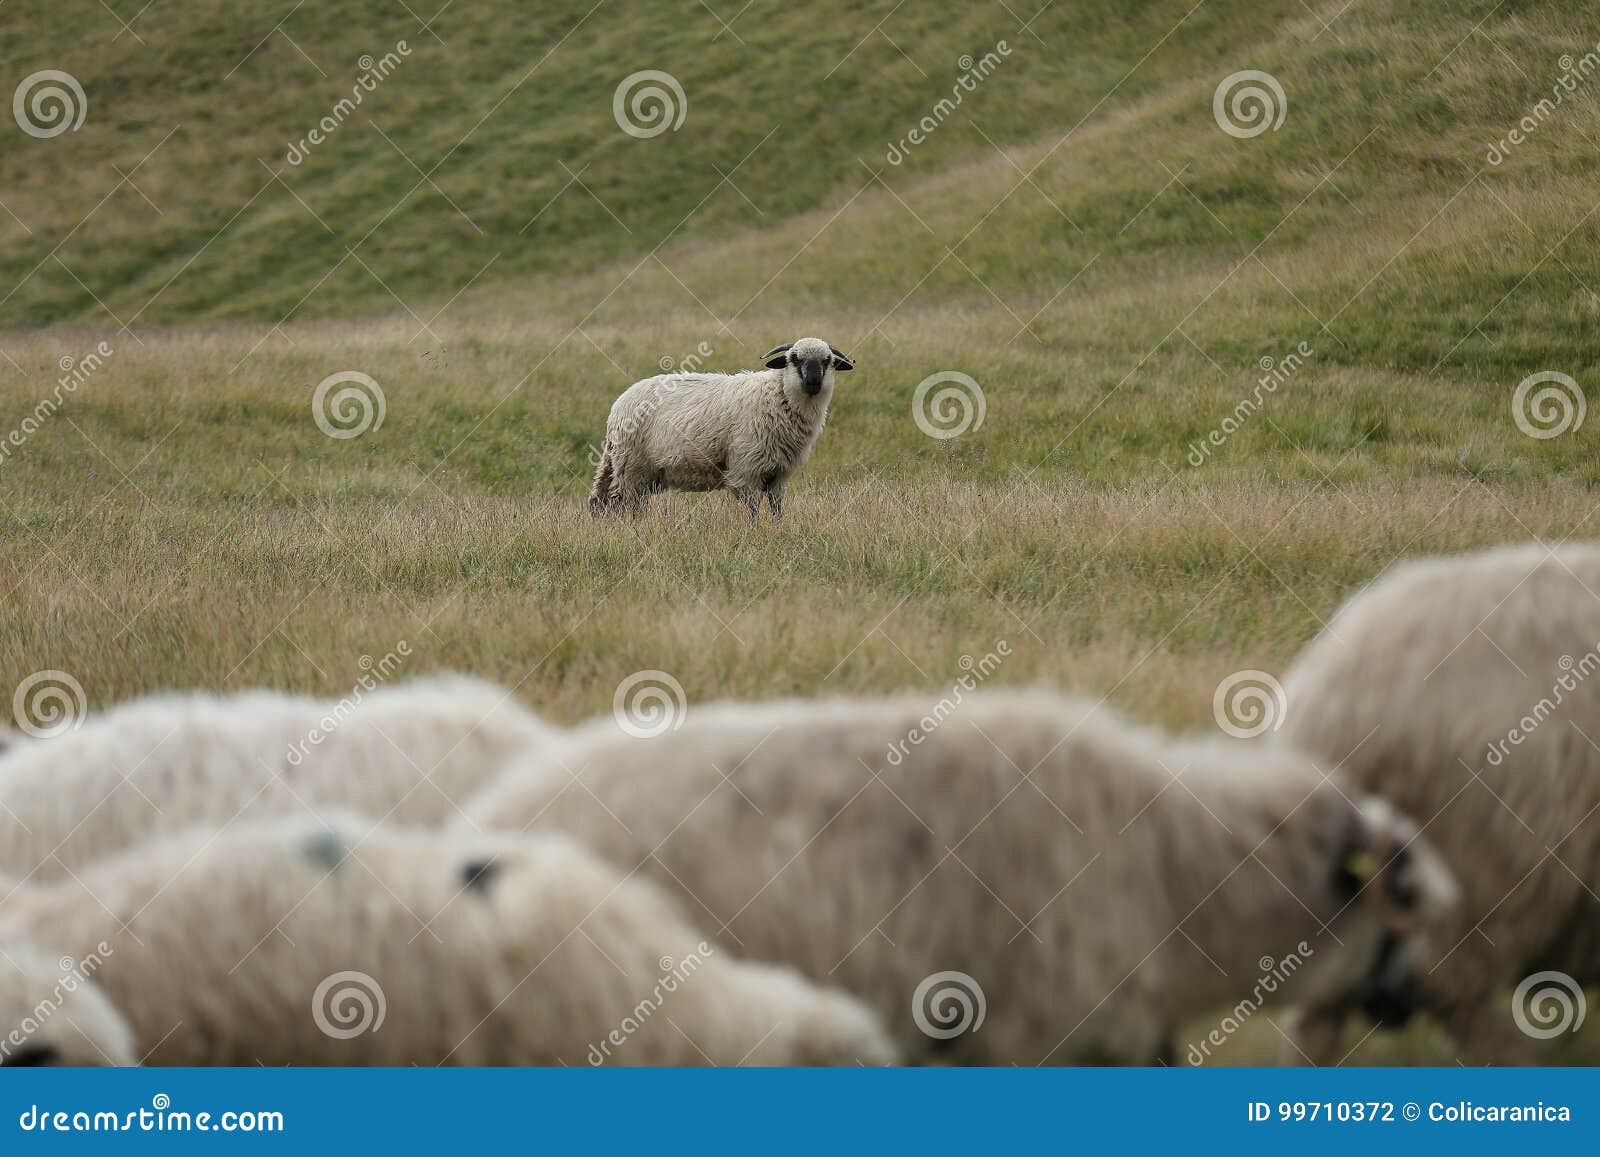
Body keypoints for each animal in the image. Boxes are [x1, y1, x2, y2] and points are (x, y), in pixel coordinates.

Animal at [588, 336, 853, 520]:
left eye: (827, 361)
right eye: (794, 359)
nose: (813, 381)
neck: (777, 395)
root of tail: (620, 404)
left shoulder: (780, 473)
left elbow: (777, 508)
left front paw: (779, 528)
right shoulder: (746, 468)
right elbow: (753, 509)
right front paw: (755, 532)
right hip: (633, 467)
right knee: (626, 504)